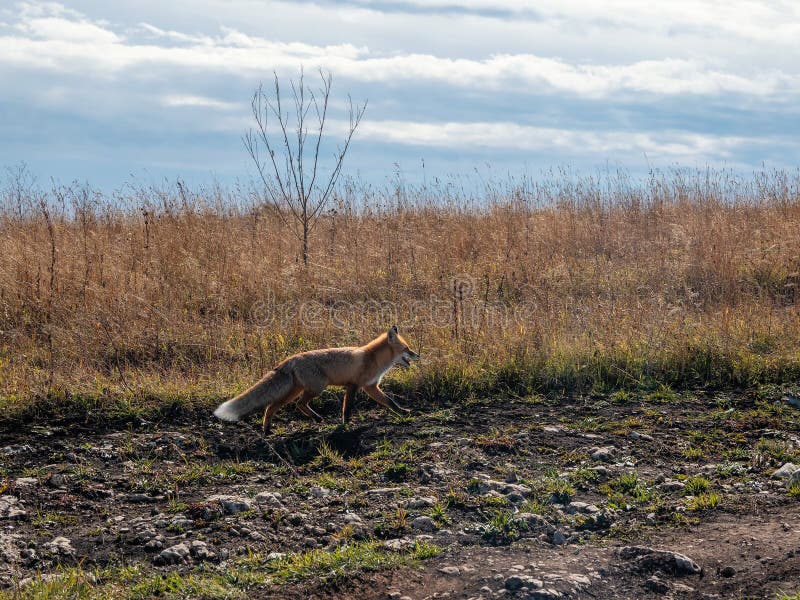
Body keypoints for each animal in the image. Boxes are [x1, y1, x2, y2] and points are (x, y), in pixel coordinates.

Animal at [213, 325, 420, 434]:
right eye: (407, 349)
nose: (417, 355)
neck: (373, 359)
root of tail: (291, 358)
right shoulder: (354, 385)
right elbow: (347, 408)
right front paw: (346, 425)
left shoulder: (371, 387)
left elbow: (390, 402)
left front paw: (403, 412)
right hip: (317, 388)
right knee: (298, 404)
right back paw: (316, 418)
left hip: (295, 390)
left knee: (271, 406)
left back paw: (268, 430)